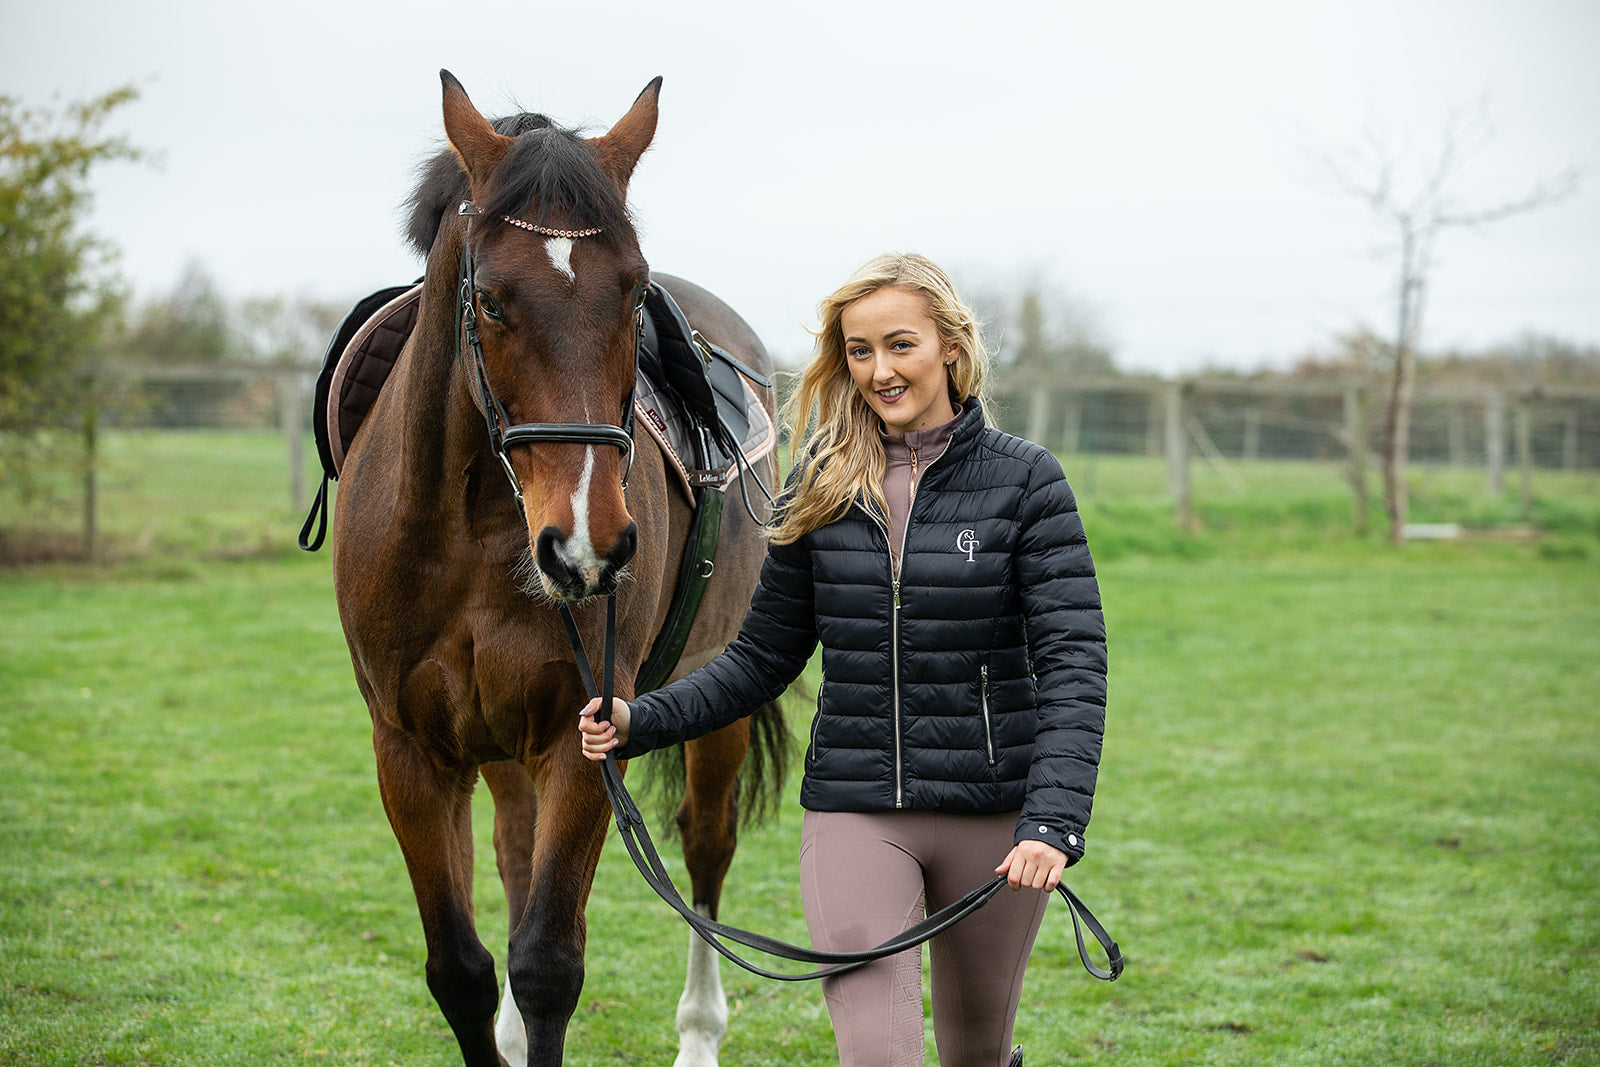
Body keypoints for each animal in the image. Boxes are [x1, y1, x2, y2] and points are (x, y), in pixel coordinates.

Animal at [330, 71, 786, 1066]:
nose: (588, 545)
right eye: (494, 301)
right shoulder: (409, 749)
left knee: (706, 848)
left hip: (717, 693)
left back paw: (700, 1032)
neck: (470, 531)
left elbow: (546, 965)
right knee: (514, 844)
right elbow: (460, 968)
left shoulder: (586, 736)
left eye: (635, 292)